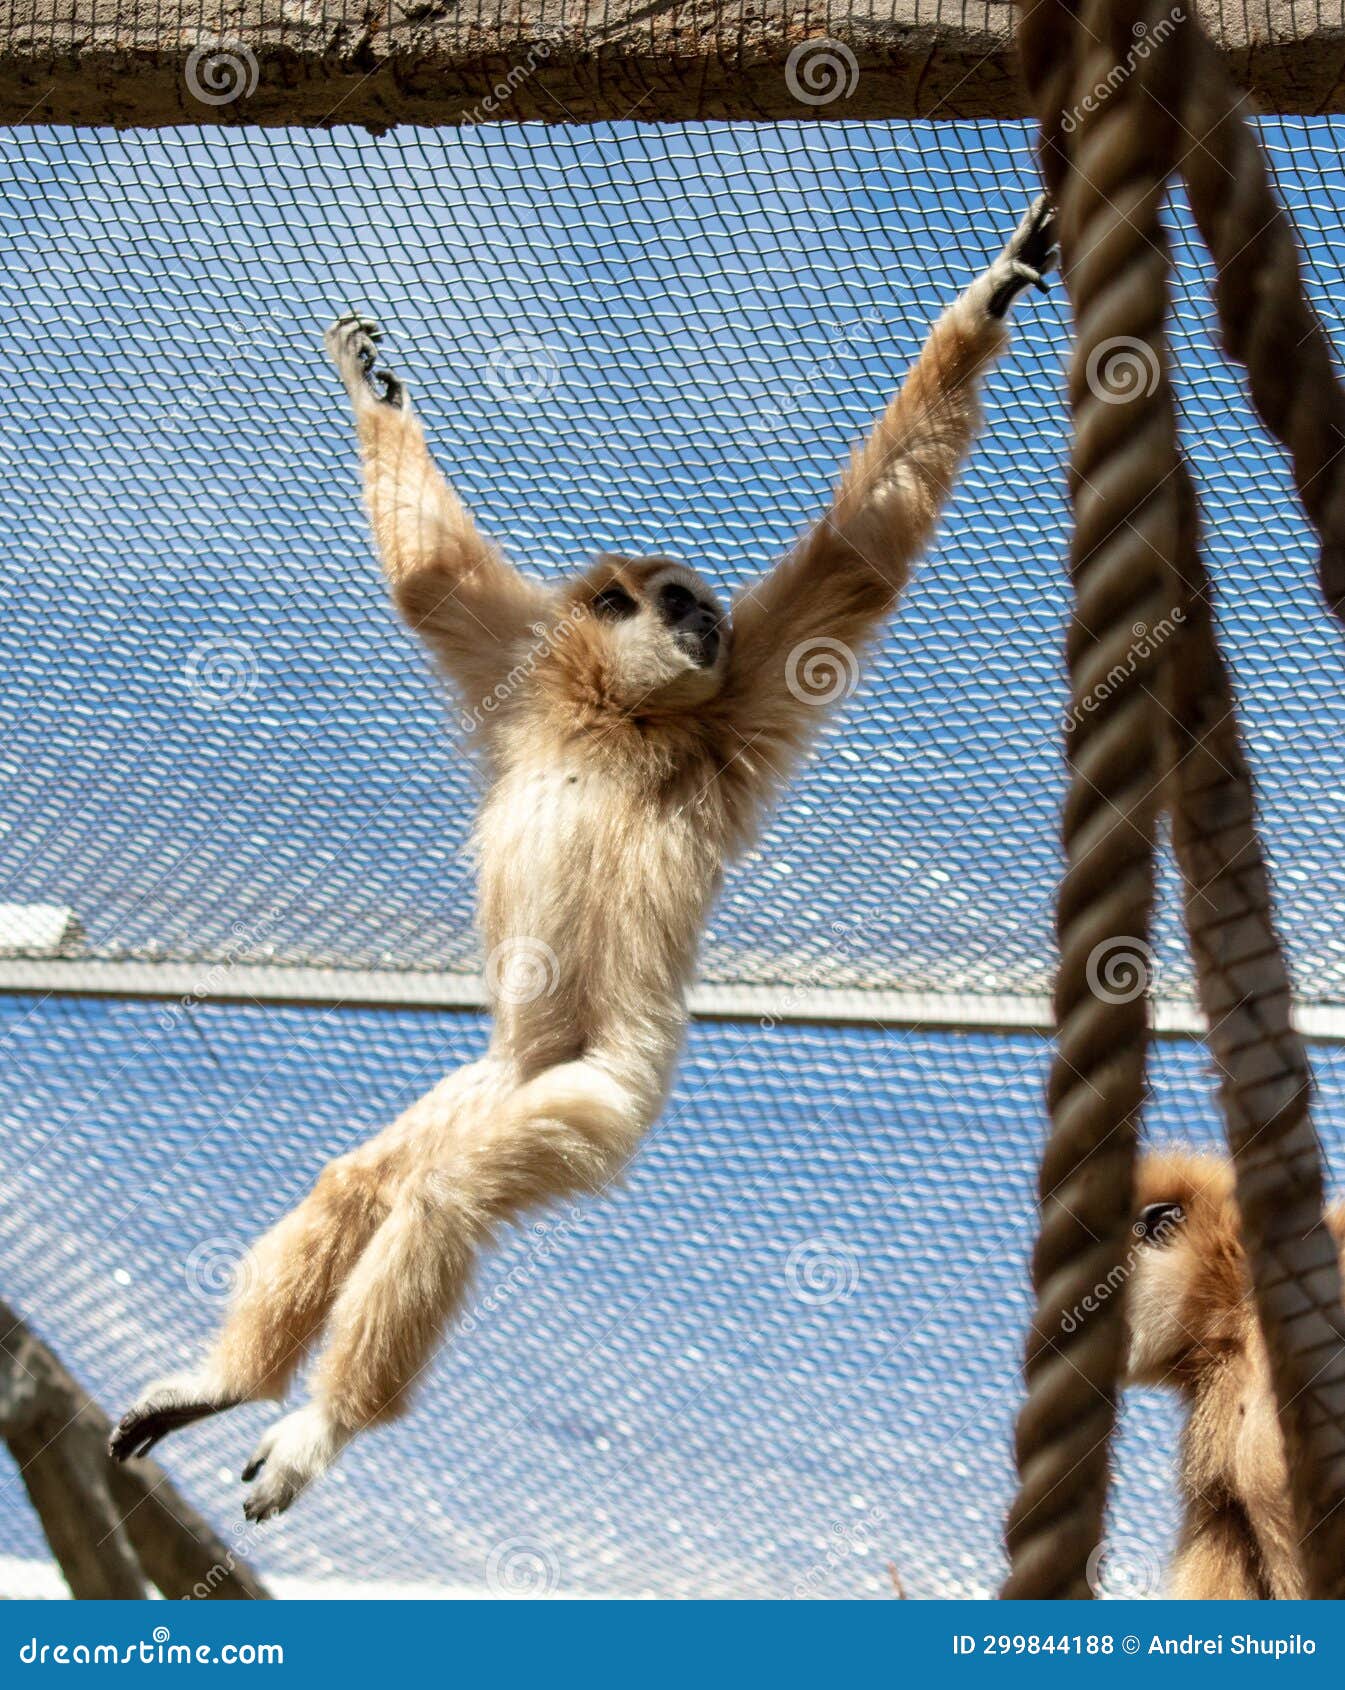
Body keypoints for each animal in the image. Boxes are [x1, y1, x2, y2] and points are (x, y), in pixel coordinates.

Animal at [109, 197, 1058, 1520]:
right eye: (676, 602)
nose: (705, 620)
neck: (618, 716)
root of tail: (541, 1060)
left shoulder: (735, 707)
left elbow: (856, 560)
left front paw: (989, 296)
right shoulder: (526, 676)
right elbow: (432, 581)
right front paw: (369, 388)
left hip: (599, 1101)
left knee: (445, 1193)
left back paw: (318, 1425)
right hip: (498, 1076)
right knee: (363, 1184)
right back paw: (230, 1380)